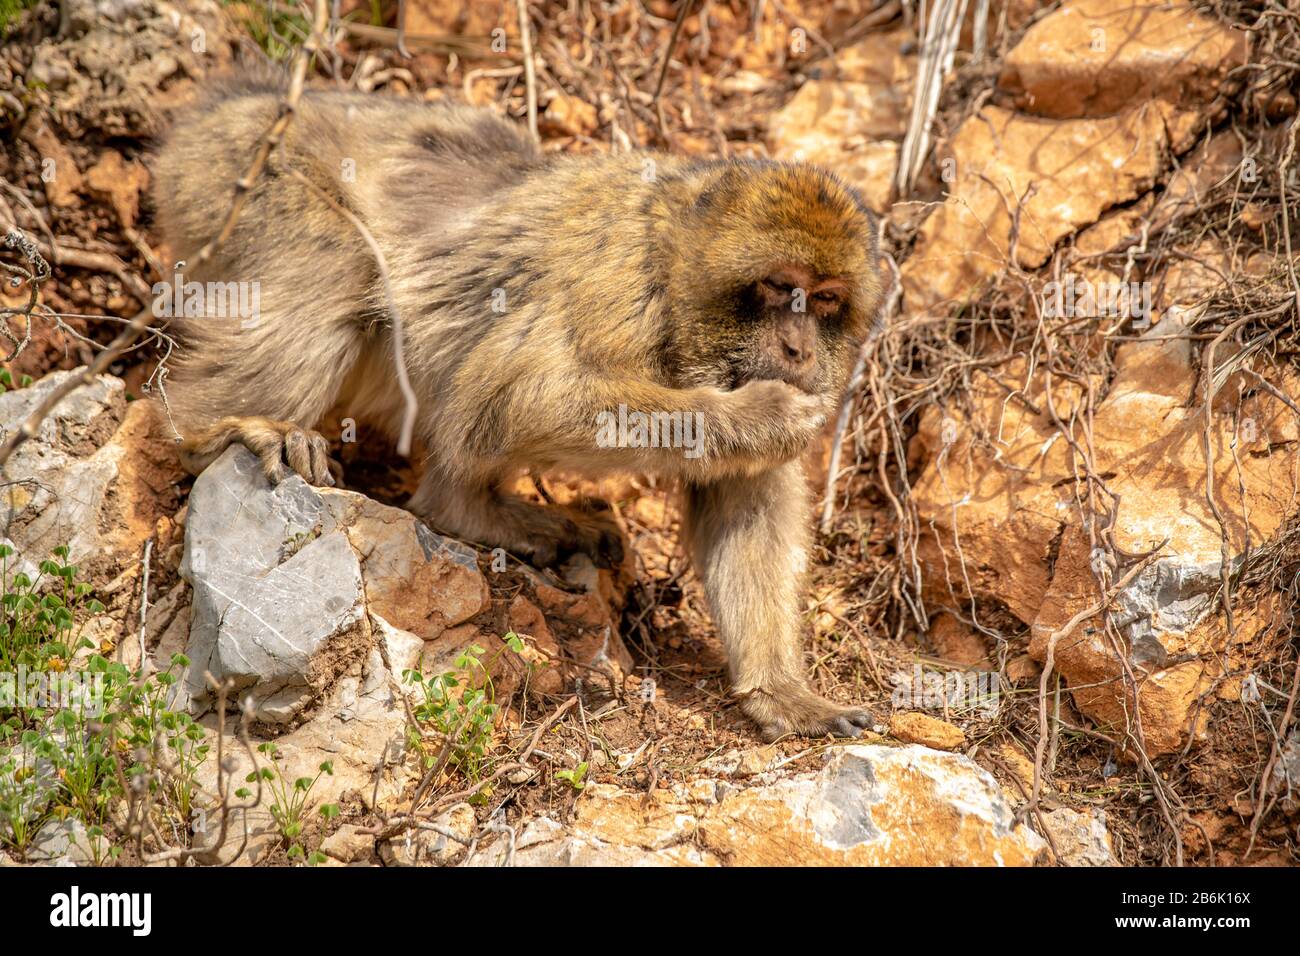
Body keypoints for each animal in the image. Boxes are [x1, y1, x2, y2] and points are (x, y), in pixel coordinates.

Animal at [150, 81, 887, 741]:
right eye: (778, 288)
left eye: (825, 300)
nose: (796, 350)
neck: (675, 261)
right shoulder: (618, 285)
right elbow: (515, 397)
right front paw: (762, 416)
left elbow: (745, 497)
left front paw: (778, 691)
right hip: (245, 178)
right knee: (336, 268)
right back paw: (214, 429)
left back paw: (467, 510)